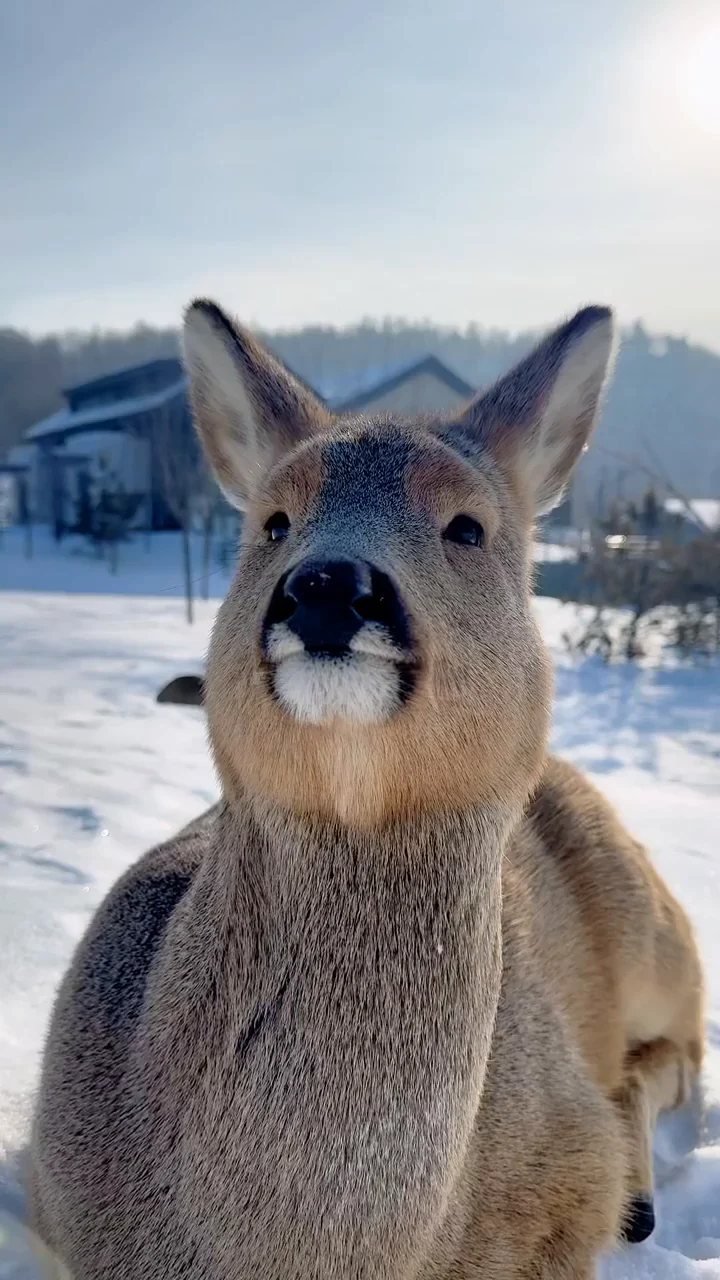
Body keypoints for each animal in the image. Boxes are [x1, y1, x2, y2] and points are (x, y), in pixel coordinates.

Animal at [29, 300, 704, 1279]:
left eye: (467, 527)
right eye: (274, 521)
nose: (326, 584)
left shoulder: (571, 1165)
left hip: (654, 929)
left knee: (684, 1050)